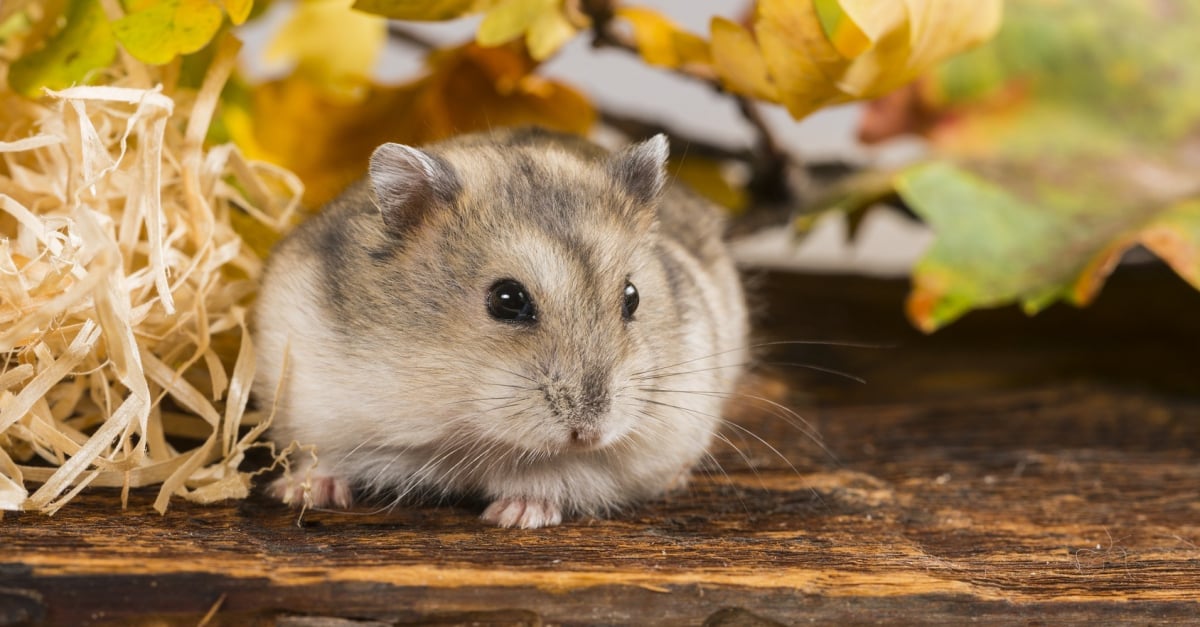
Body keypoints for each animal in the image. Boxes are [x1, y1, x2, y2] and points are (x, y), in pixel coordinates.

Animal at [252, 128, 748, 528]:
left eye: (632, 297)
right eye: (507, 300)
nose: (589, 433)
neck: (471, 428)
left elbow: (559, 476)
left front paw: (514, 515)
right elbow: (322, 456)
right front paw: (300, 492)